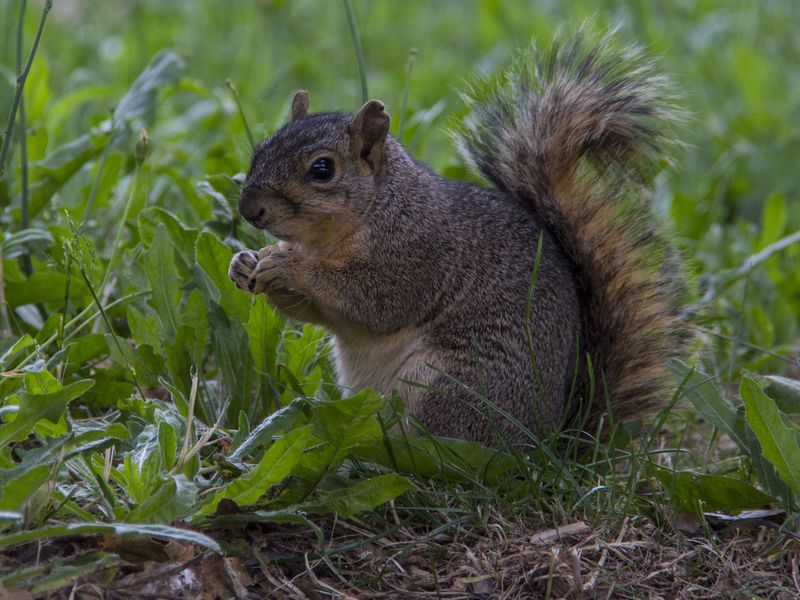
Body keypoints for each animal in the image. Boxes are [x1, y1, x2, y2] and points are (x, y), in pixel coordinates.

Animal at [228, 34, 686, 446]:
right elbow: (311, 311)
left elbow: (372, 300)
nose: (249, 208)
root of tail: (549, 445)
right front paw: (245, 262)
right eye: (261, 149)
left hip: (449, 384)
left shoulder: (418, 256)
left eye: (322, 169)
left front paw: (289, 267)